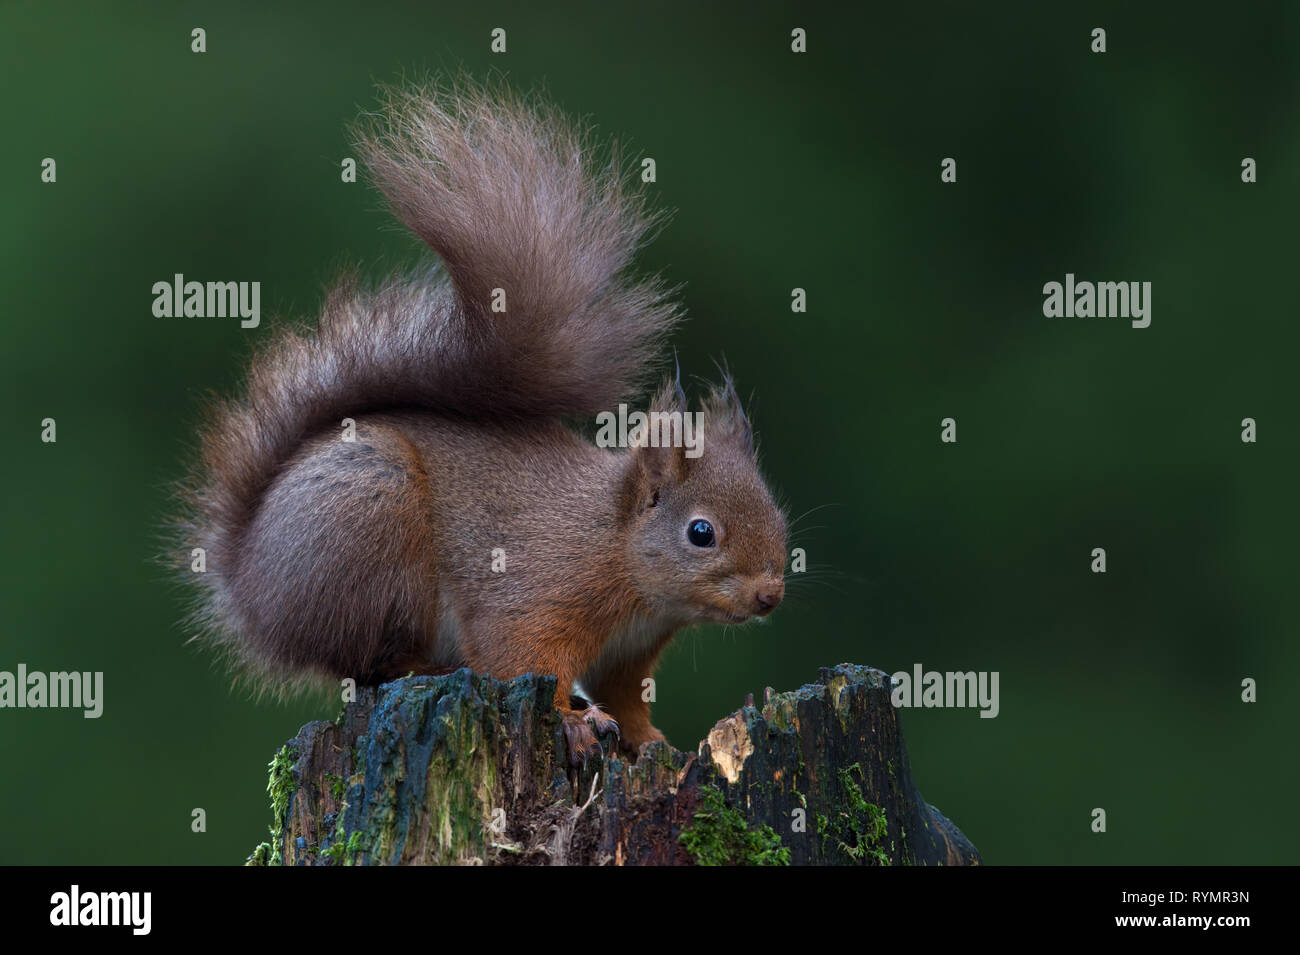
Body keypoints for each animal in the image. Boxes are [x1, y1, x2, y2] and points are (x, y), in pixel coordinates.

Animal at [177, 79, 788, 762]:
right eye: (700, 532)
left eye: (776, 510)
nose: (770, 595)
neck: (616, 548)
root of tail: (249, 588)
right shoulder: (538, 595)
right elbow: (521, 656)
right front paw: (574, 722)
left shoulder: (628, 657)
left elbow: (627, 698)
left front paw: (650, 740)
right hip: (369, 526)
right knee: (366, 664)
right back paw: (425, 668)